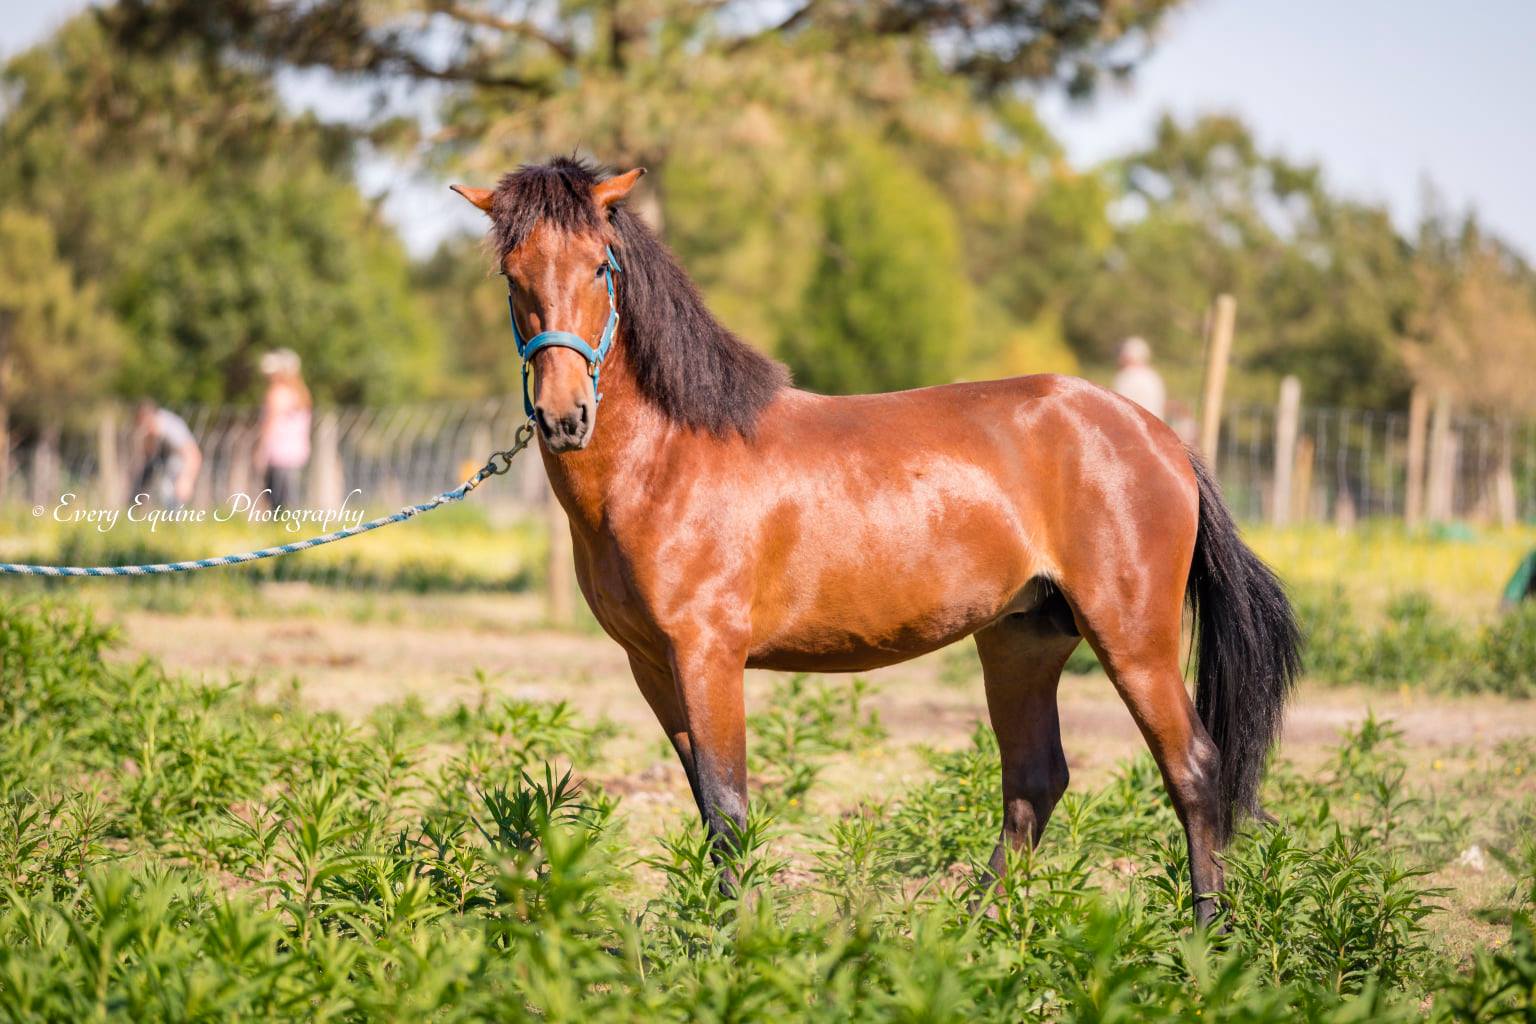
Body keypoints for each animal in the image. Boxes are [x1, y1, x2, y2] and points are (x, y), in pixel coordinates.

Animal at [450, 159, 1300, 925]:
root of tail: (1159, 437)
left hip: (1133, 639)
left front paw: (736, 949)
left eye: (601, 266)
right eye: (513, 277)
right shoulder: (652, 665)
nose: (564, 417)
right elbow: (703, 805)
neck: (670, 457)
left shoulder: (708, 654)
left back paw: (1205, 938)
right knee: (1035, 782)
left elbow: (728, 810)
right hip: (1022, 640)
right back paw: (973, 935)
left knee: (1190, 768)